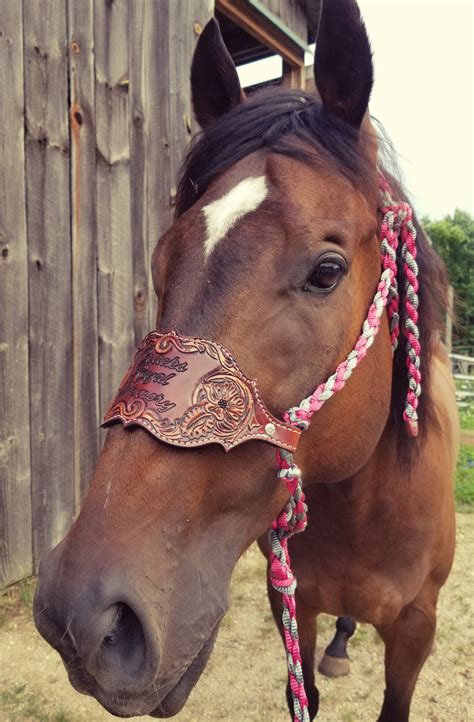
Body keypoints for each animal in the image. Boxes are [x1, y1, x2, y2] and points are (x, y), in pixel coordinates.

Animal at [33, 1, 459, 720]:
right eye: (161, 260)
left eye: (327, 271)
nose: (83, 617)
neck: (367, 511)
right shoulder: (294, 600)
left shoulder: (416, 634)